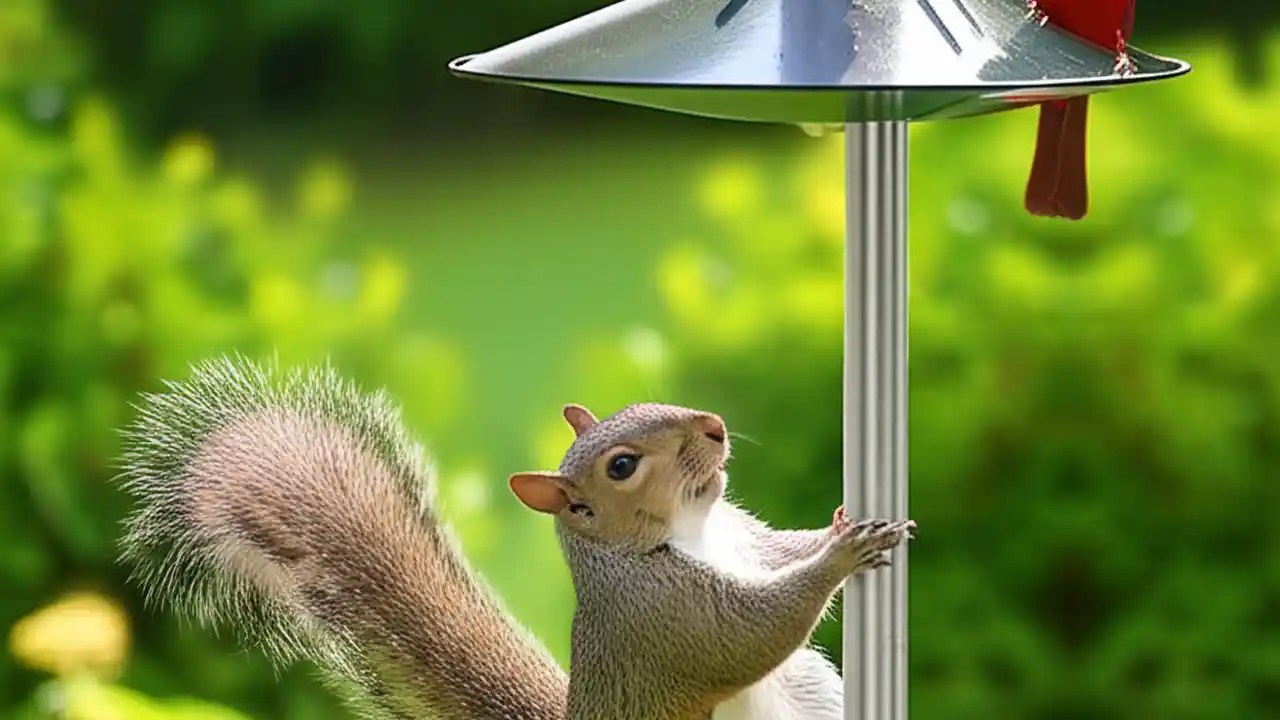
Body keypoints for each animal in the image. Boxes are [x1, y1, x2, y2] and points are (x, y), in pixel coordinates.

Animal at [117, 356, 914, 720]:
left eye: (646, 403)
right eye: (621, 466)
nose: (715, 427)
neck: (696, 531)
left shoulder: (746, 542)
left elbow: (783, 555)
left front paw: (837, 527)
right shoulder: (659, 617)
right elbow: (750, 633)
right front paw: (844, 554)